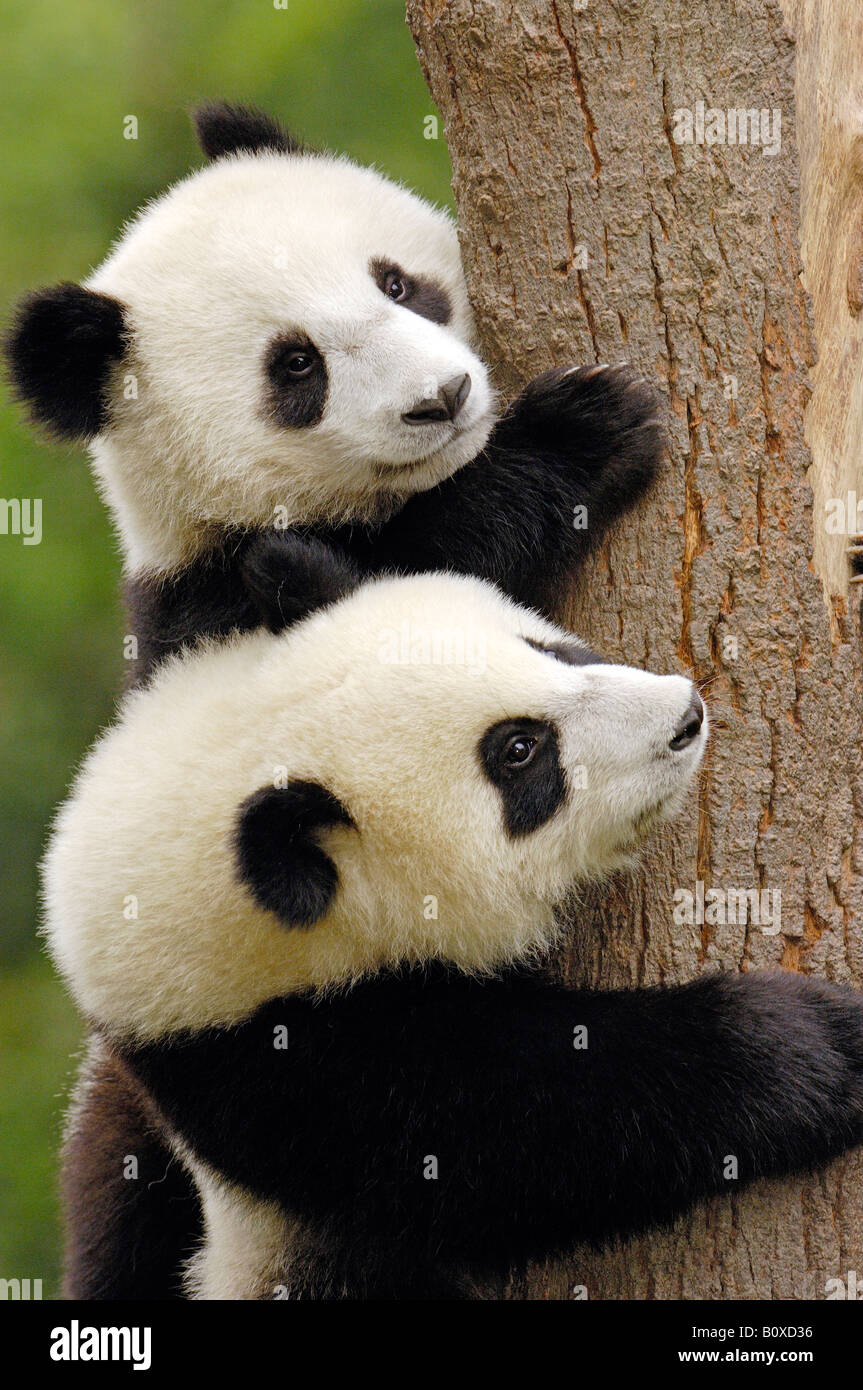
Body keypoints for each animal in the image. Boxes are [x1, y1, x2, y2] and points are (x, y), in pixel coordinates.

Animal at [44, 568, 863, 1301]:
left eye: (543, 646)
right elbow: (533, 1131)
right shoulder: (294, 1073)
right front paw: (813, 1045)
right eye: (520, 751)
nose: (685, 716)